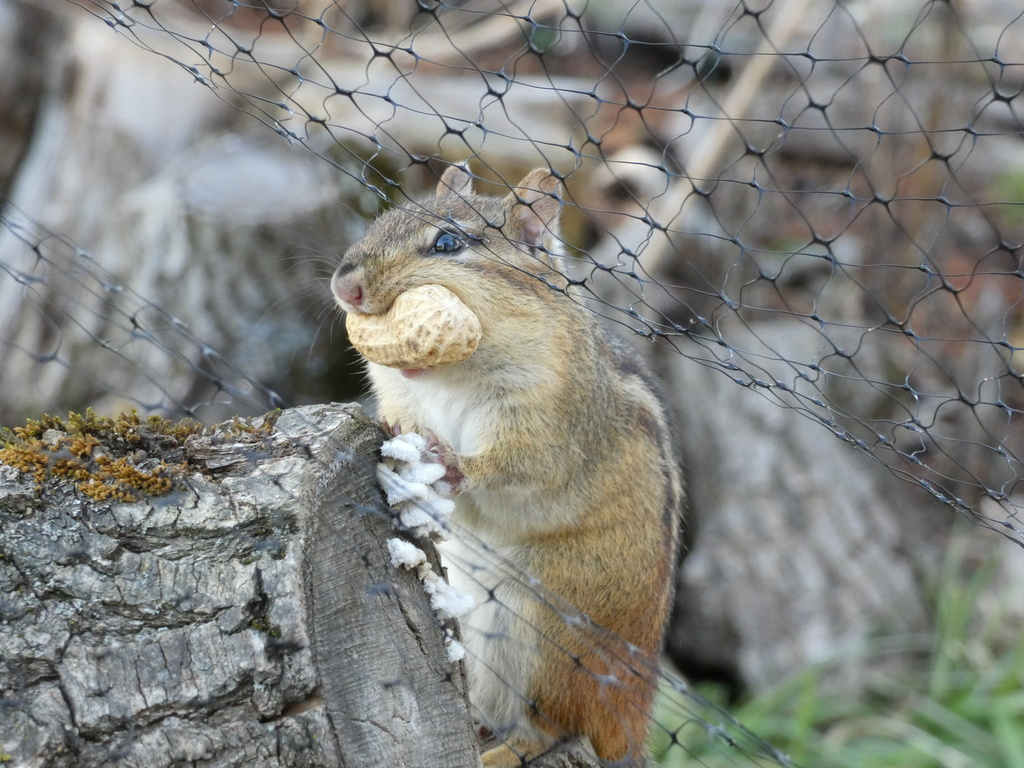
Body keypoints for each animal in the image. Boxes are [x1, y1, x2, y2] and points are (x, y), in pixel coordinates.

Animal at [331, 164, 684, 767]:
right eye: (383, 218)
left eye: (448, 243)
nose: (344, 288)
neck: (449, 372)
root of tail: (628, 727)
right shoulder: (399, 392)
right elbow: (399, 416)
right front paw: (396, 440)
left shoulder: (544, 417)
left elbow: (519, 464)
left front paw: (450, 463)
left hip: (547, 630)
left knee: (548, 732)